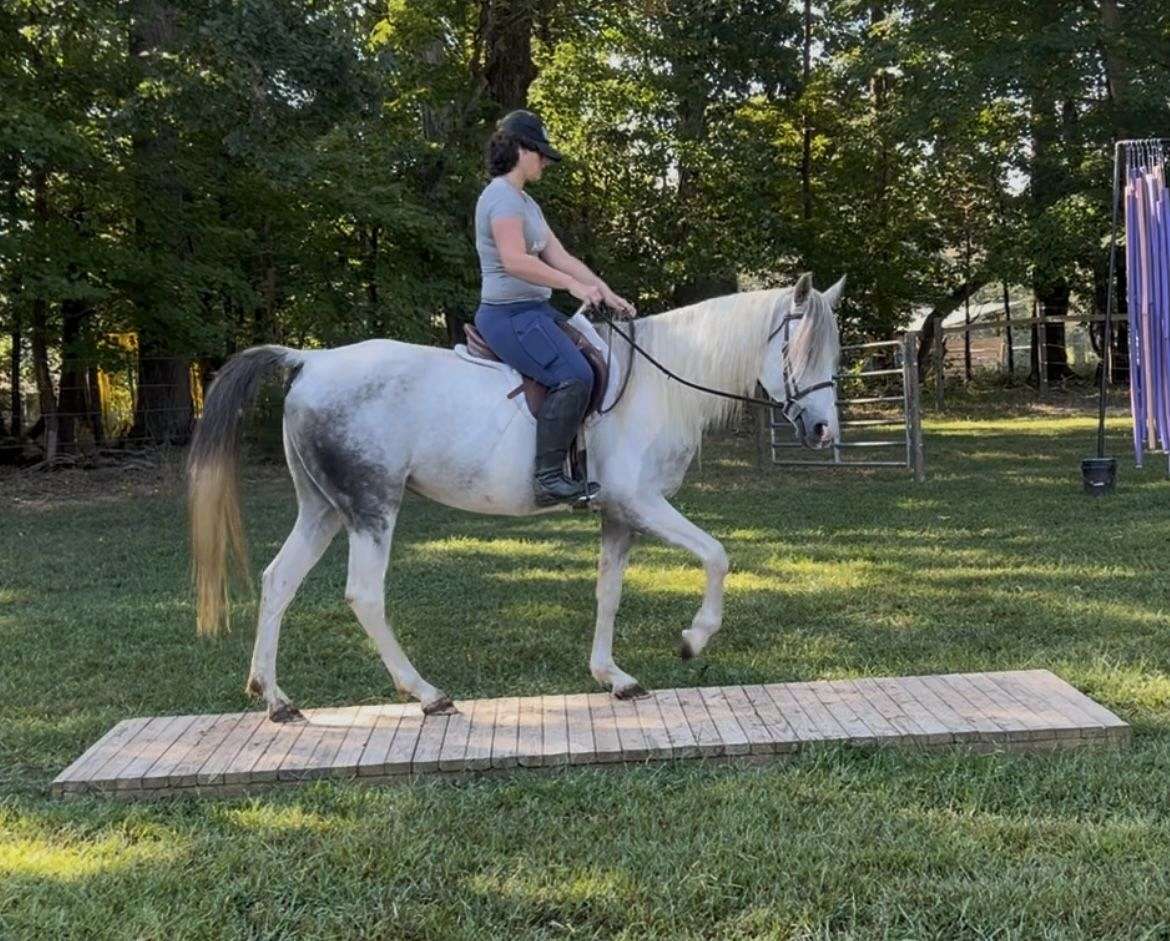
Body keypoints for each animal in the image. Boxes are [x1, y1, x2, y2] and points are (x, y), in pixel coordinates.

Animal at [187, 272, 844, 721]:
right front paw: (692, 639)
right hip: (373, 507)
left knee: (279, 580)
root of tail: (310, 360)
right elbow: (716, 555)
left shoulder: (619, 514)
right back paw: (427, 694)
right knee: (364, 595)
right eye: (800, 350)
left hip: (323, 510)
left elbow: (608, 593)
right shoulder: (643, 502)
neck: (658, 384)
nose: (821, 431)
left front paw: (614, 677)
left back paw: (275, 699)